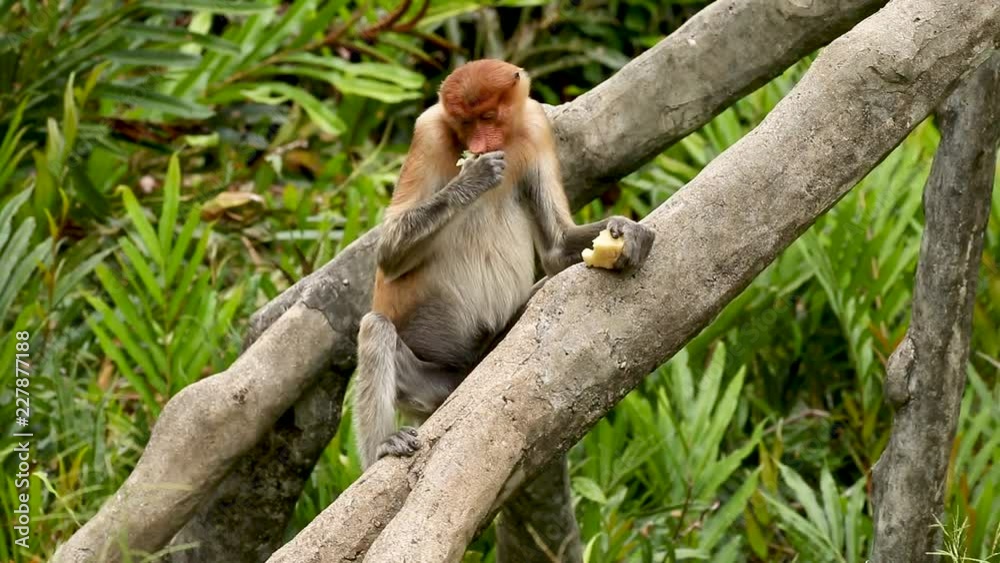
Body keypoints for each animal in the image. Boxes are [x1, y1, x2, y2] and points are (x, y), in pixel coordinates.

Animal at [353, 59, 655, 469]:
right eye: (465, 123)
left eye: (488, 116)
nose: (479, 146)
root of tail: (462, 375)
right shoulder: (429, 133)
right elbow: (388, 253)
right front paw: (475, 175)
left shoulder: (537, 125)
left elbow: (556, 247)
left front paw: (628, 232)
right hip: (427, 382)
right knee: (376, 329)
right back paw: (383, 447)